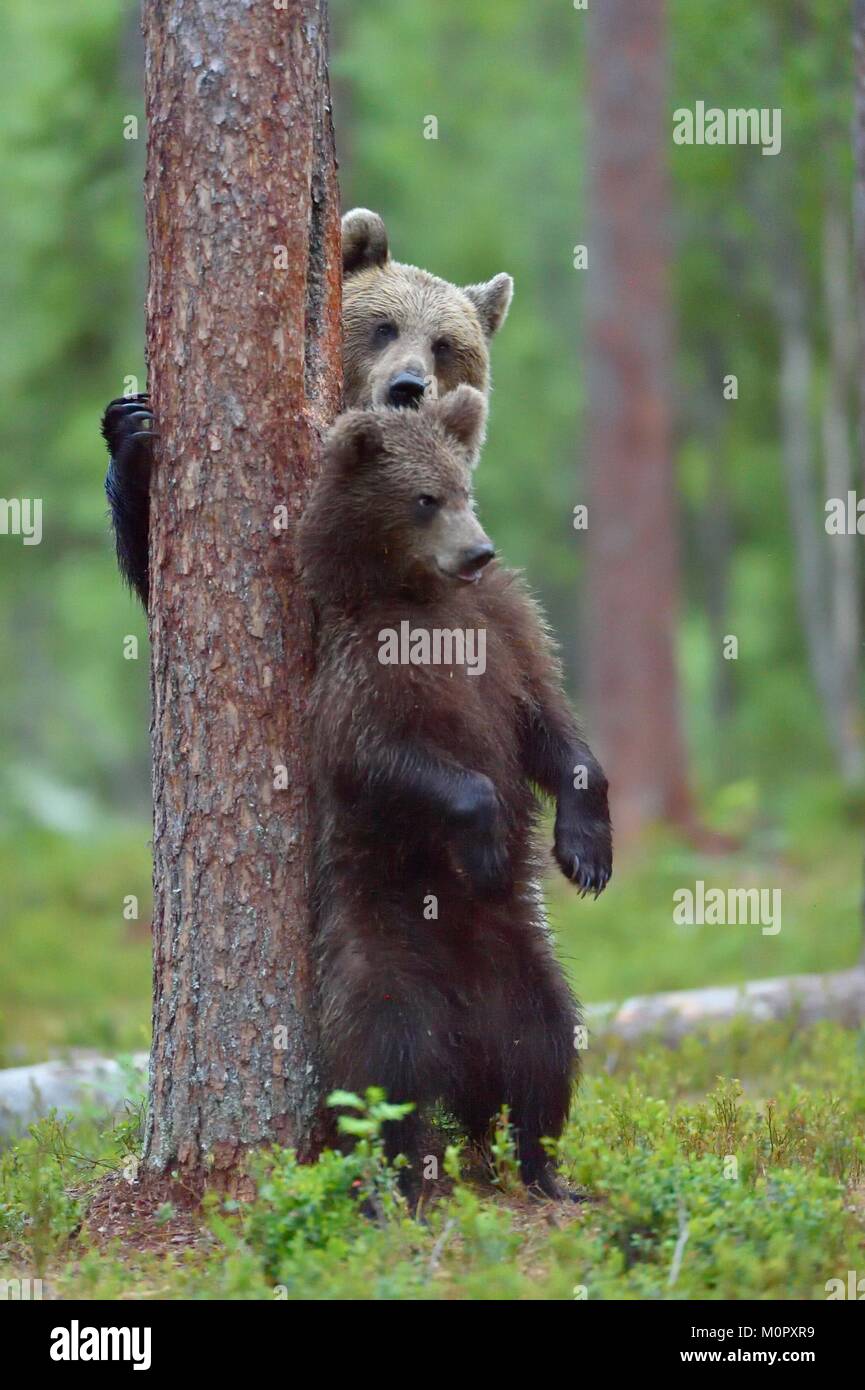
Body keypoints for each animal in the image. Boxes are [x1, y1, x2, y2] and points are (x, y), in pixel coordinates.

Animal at [299, 385, 612, 1201]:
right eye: (423, 498)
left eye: (463, 488)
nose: (478, 552)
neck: (423, 593)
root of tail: (466, 1034)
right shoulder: (365, 672)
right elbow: (384, 761)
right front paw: (485, 840)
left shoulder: (507, 636)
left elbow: (553, 732)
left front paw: (586, 851)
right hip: (377, 940)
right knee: (388, 1060)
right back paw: (401, 1181)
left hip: (522, 959)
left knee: (546, 1046)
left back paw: (542, 1167)